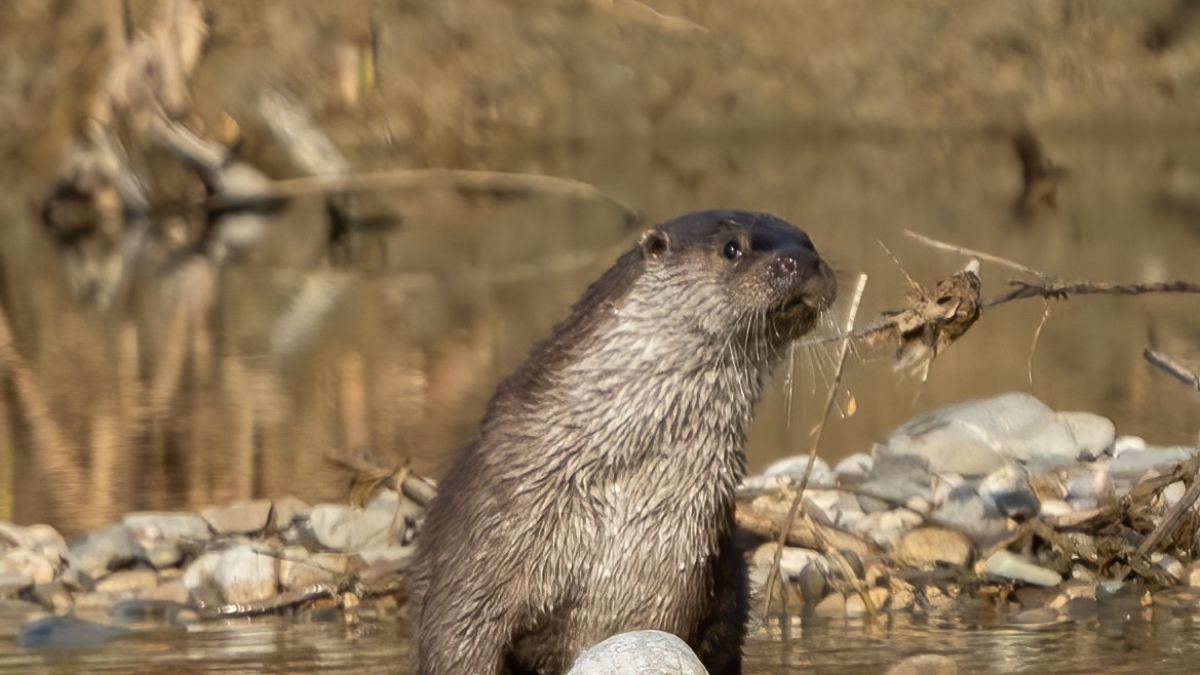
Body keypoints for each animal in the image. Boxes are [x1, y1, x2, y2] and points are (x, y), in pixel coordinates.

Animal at [409, 210, 837, 675]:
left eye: (809, 242)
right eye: (732, 248)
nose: (800, 261)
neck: (611, 478)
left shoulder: (665, 562)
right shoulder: (482, 546)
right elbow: (457, 638)